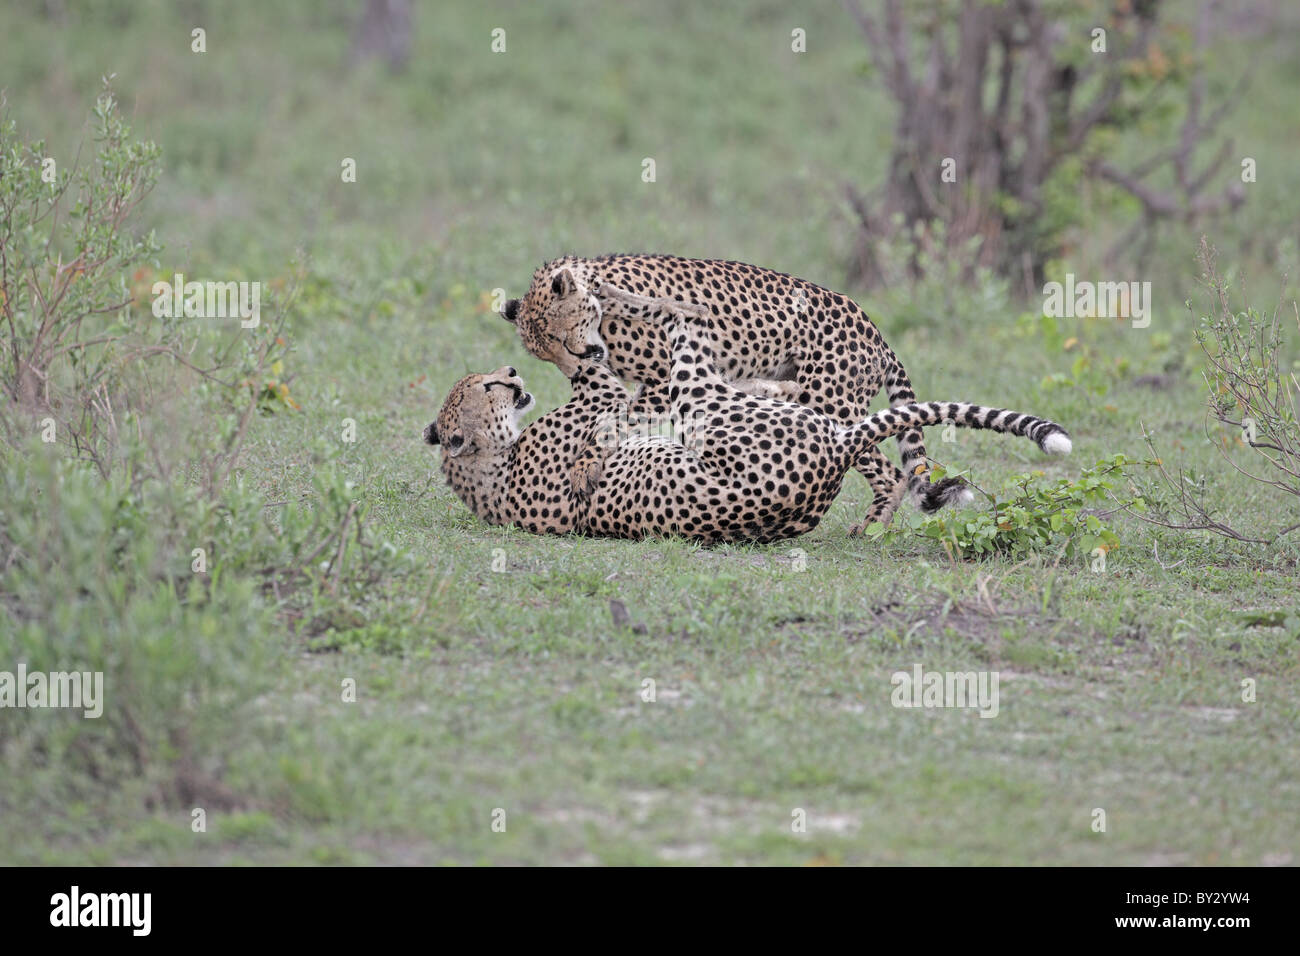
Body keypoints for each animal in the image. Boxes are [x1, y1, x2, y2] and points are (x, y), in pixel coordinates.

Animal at [431, 295, 1073, 544]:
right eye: (487, 386)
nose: (511, 372)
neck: (488, 475)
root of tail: (834, 450)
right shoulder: (598, 400)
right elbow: (597, 381)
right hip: (704, 396)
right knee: (688, 332)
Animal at [501, 253, 973, 532]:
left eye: (560, 339)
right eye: (544, 354)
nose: (579, 366)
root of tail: (875, 330)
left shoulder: (662, 380)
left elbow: (610, 420)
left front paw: (584, 466)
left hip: (831, 402)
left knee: (891, 471)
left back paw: (870, 528)